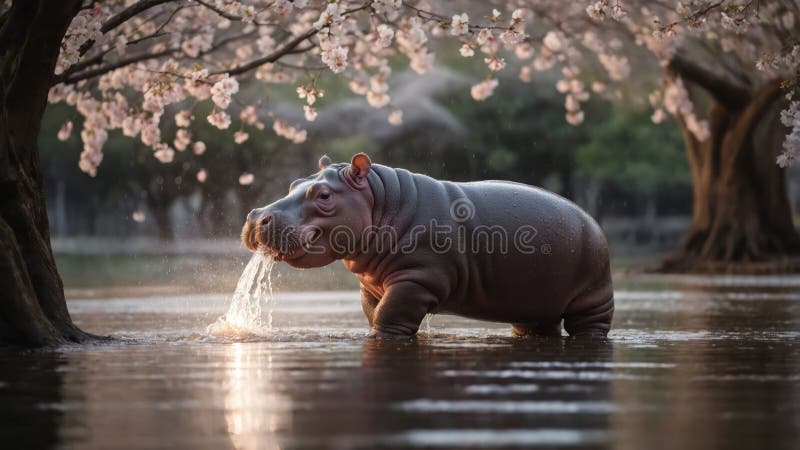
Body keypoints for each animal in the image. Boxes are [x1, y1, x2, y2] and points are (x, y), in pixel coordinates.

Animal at [242, 154, 614, 339]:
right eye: (294, 183)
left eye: (323, 195)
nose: (258, 216)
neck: (382, 202)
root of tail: (592, 220)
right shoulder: (371, 287)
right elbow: (375, 313)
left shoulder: (416, 280)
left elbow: (389, 316)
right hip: (533, 303)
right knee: (538, 327)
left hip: (593, 296)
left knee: (591, 326)